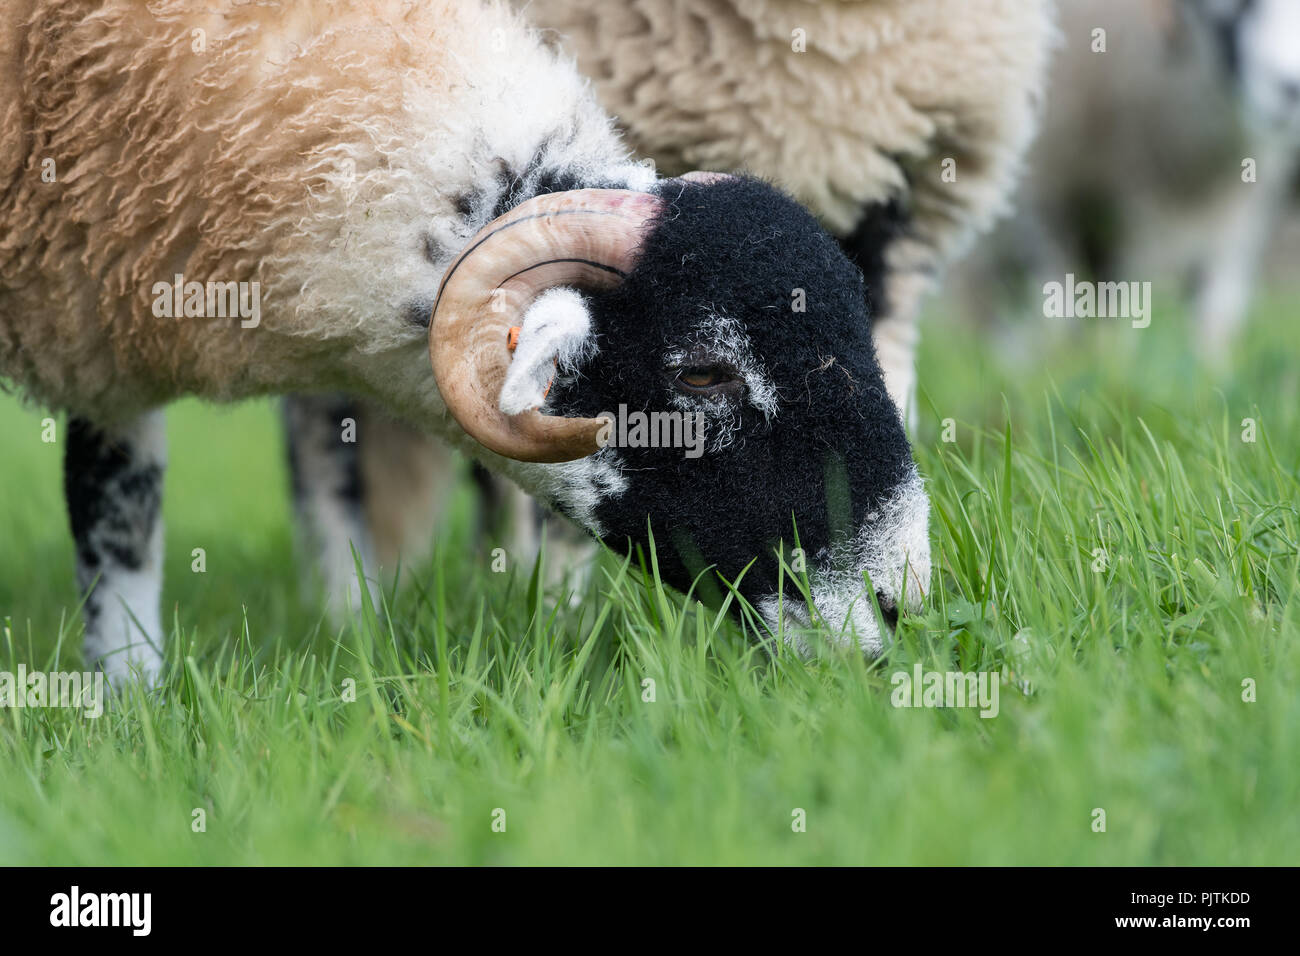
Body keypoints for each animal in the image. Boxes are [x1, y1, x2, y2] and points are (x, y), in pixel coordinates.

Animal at [1, 0, 933, 684]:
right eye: (704, 374)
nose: (901, 604)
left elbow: (122, 509)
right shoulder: (98, 310)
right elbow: (118, 513)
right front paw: (128, 692)